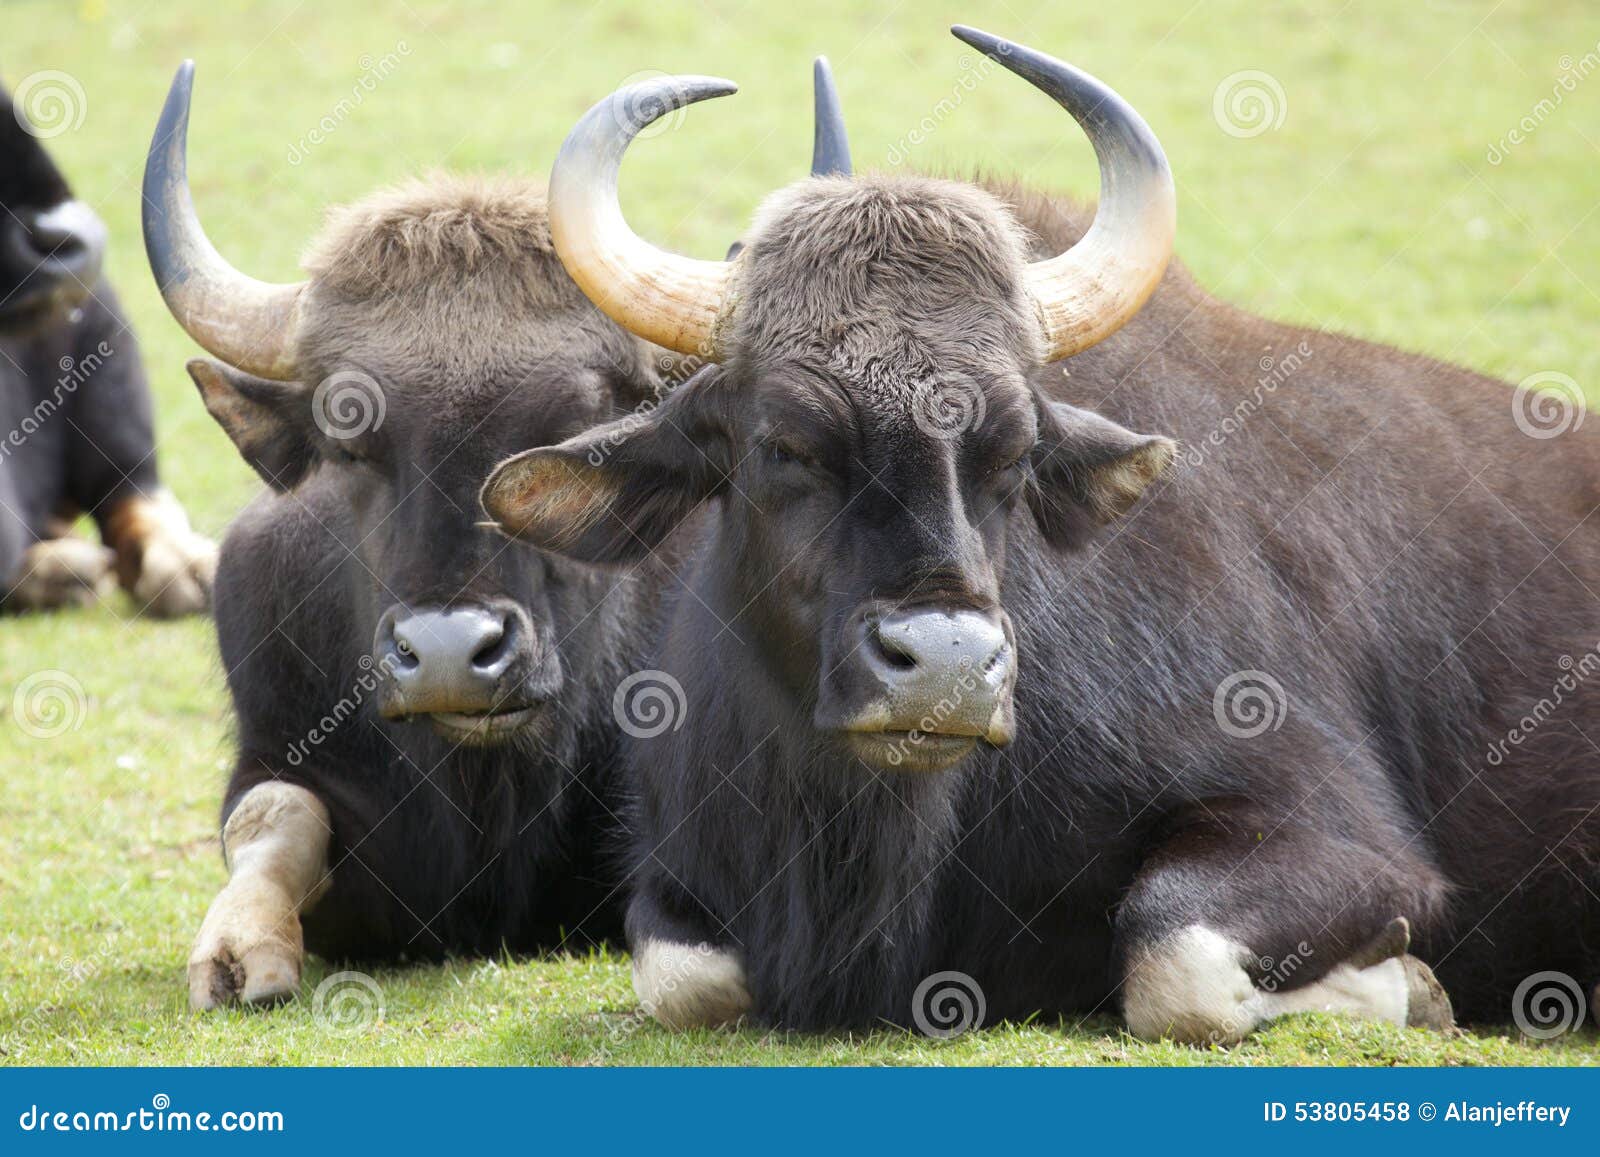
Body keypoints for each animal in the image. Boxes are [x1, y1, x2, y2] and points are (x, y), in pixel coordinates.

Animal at [483, 27, 1600, 1040]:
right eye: (782, 444)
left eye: (1017, 453)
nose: (944, 667)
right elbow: (684, 974)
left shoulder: (1338, 828)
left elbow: (1174, 957)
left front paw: (1413, 984)